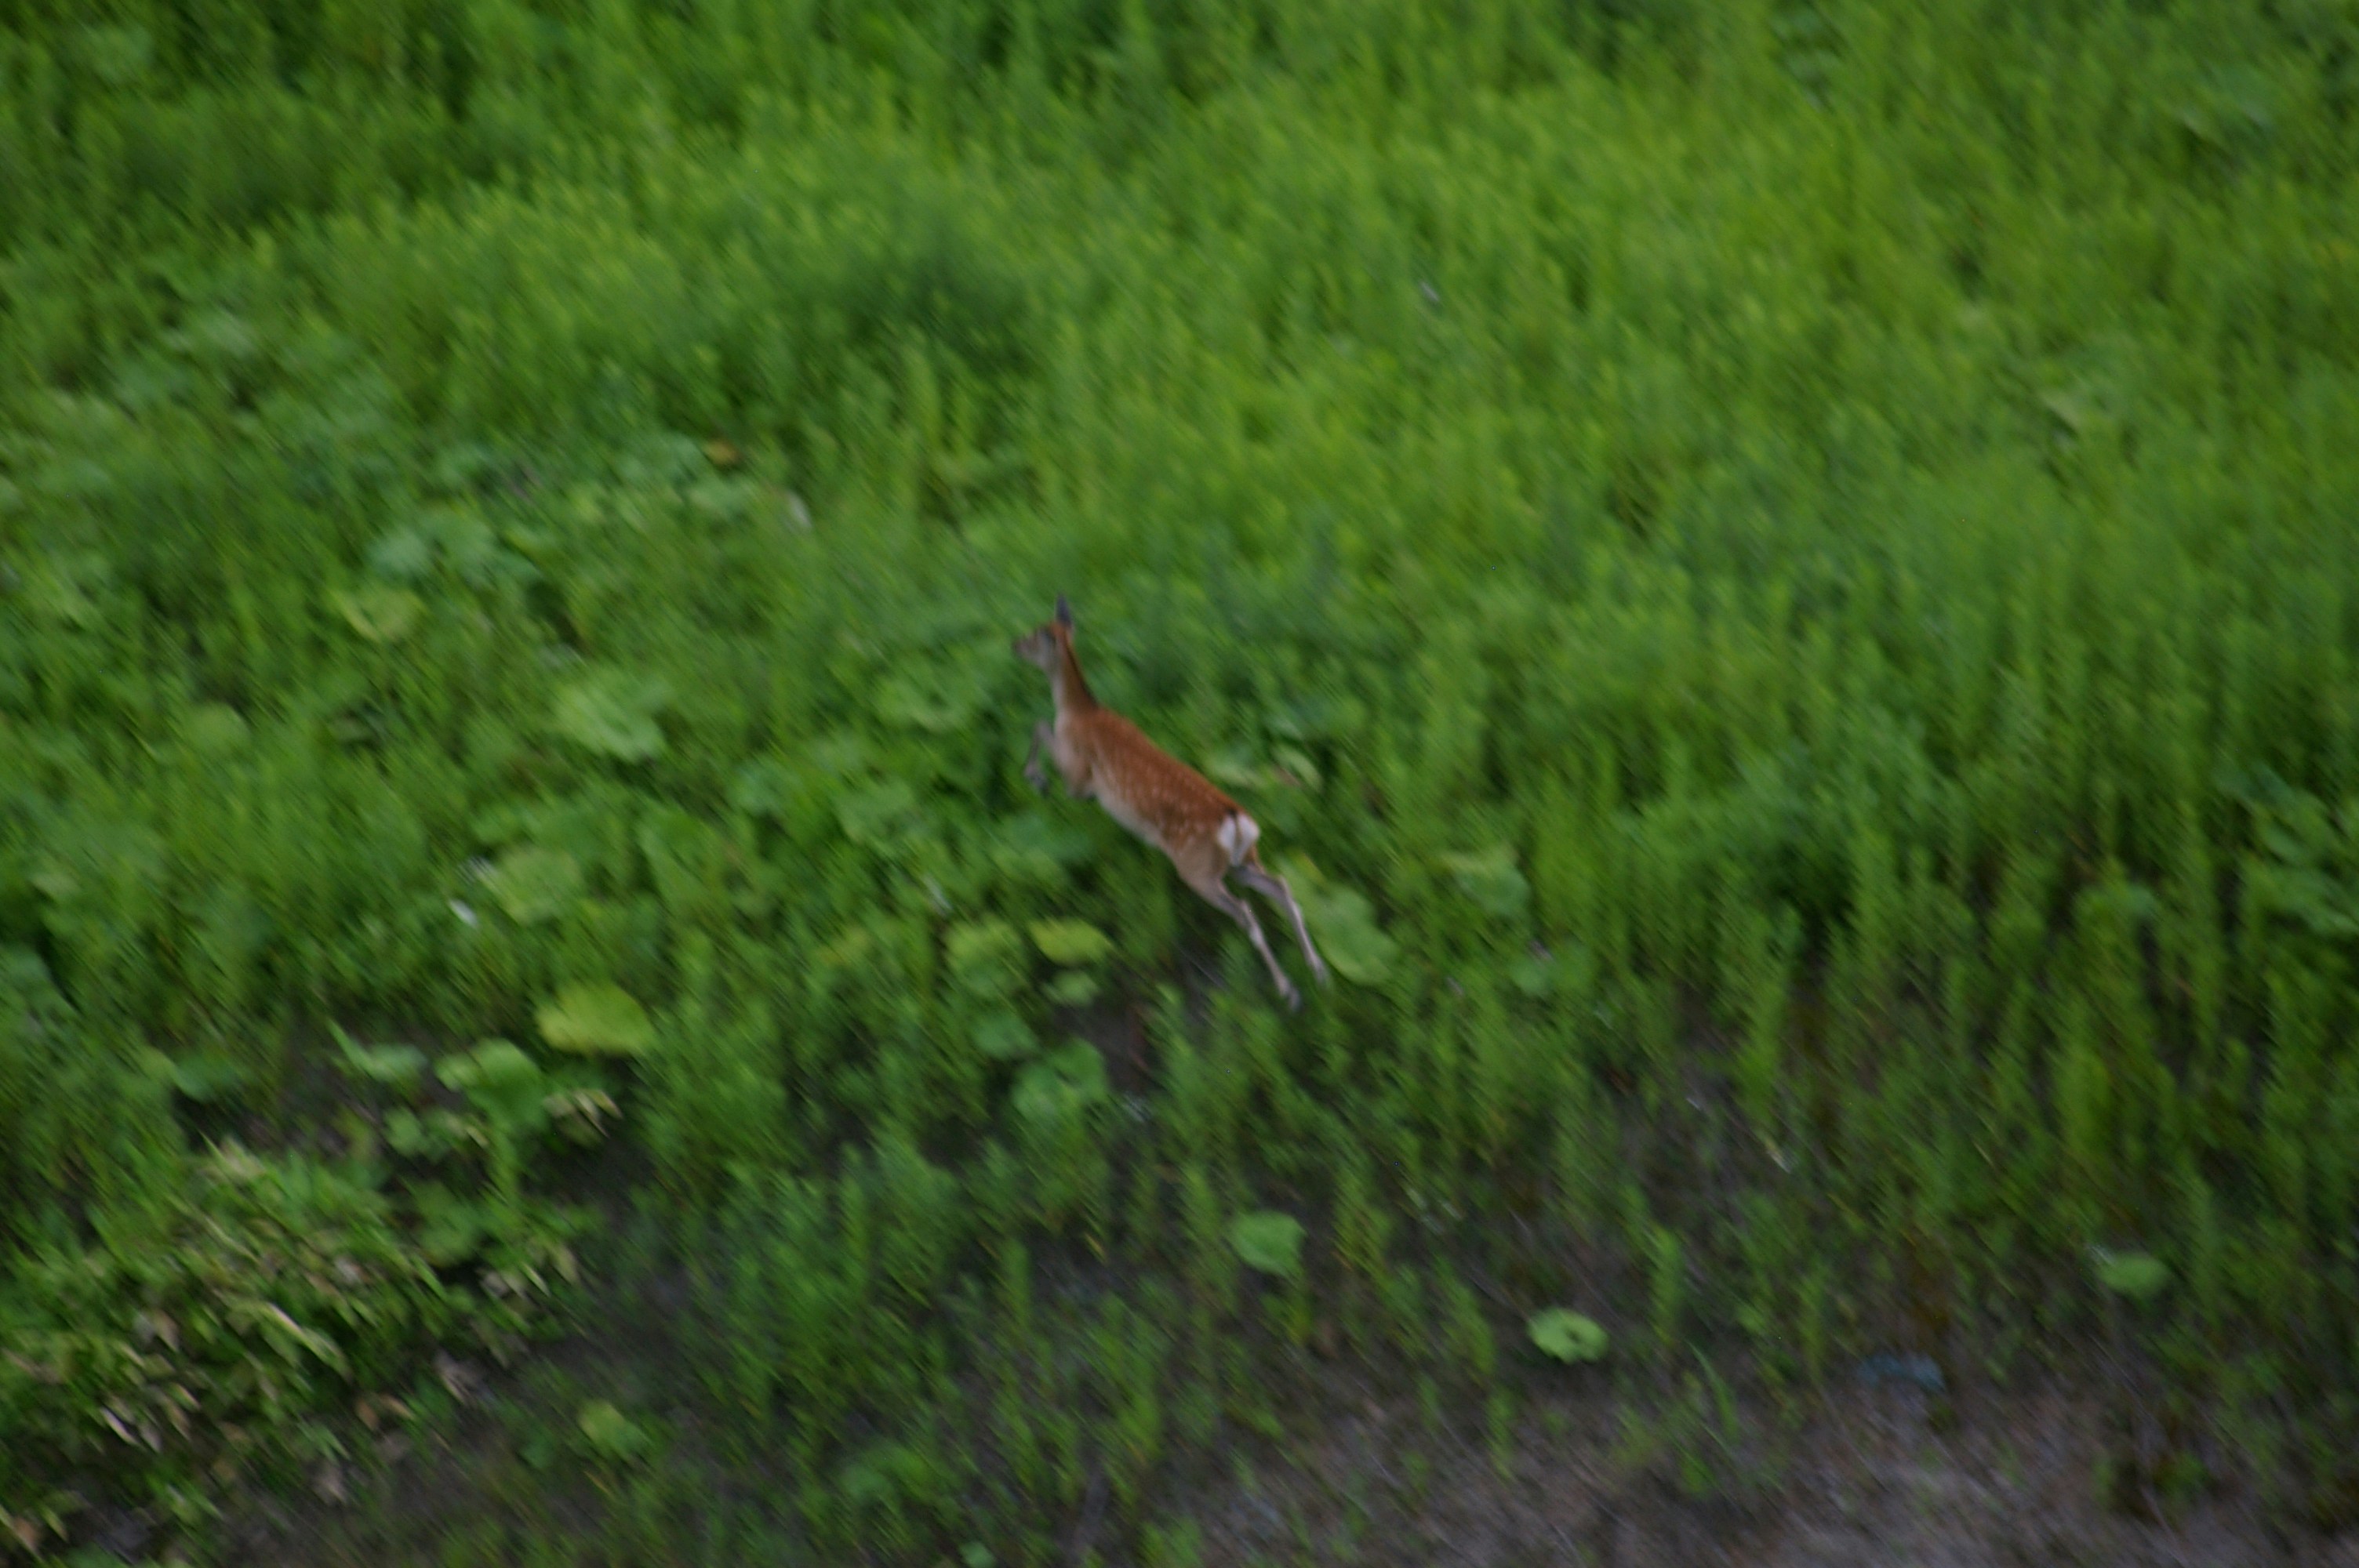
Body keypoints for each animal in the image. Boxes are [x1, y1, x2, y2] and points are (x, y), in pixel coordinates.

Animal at [1015, 596, 1331, 1011]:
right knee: (1282, 887)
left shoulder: (1079, 776)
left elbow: (1038, 725)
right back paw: (1318, 970)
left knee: (1247, 912)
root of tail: (1237, 821)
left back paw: (1289, 991)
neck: (1079, 712)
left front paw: (1036, 777)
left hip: (1197, 868)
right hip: (1240, 862)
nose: (1014, 645)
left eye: (1035, 636)